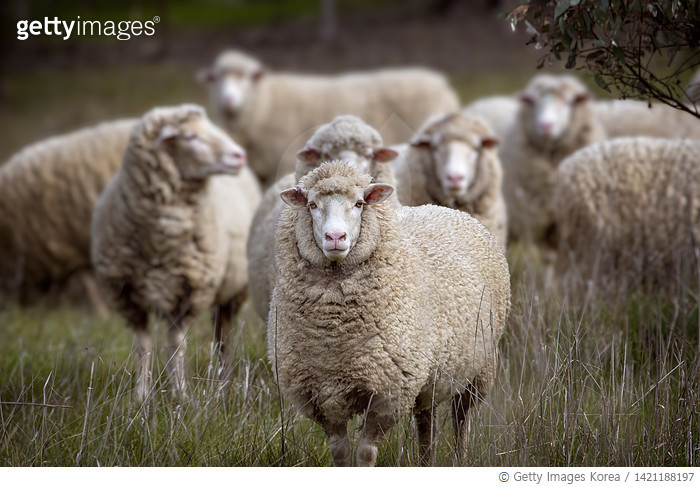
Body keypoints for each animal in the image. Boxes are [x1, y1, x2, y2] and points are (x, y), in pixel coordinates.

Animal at [91, 104, 261, 401]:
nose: (239, 155)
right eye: (190, 136)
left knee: (224, 337)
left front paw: (181, 395)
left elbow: (176, 345)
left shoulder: (188, 293)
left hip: (233, 291)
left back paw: (224, 381)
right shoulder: (127, 297)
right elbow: (143, 346)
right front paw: (141, 396)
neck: (160, 239)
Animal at [268, 161, 511, 466]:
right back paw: (426, 461)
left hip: (478, 368)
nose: (335, 237)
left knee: (461, 419)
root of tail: (445, 209)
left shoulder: (389, 393)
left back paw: (461, 458)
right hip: (429, 376)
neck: (334, 335)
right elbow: (340, 453)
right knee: (427, 422)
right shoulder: (322, 395)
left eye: (359, 203)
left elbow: (365, 453)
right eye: (312, 205)